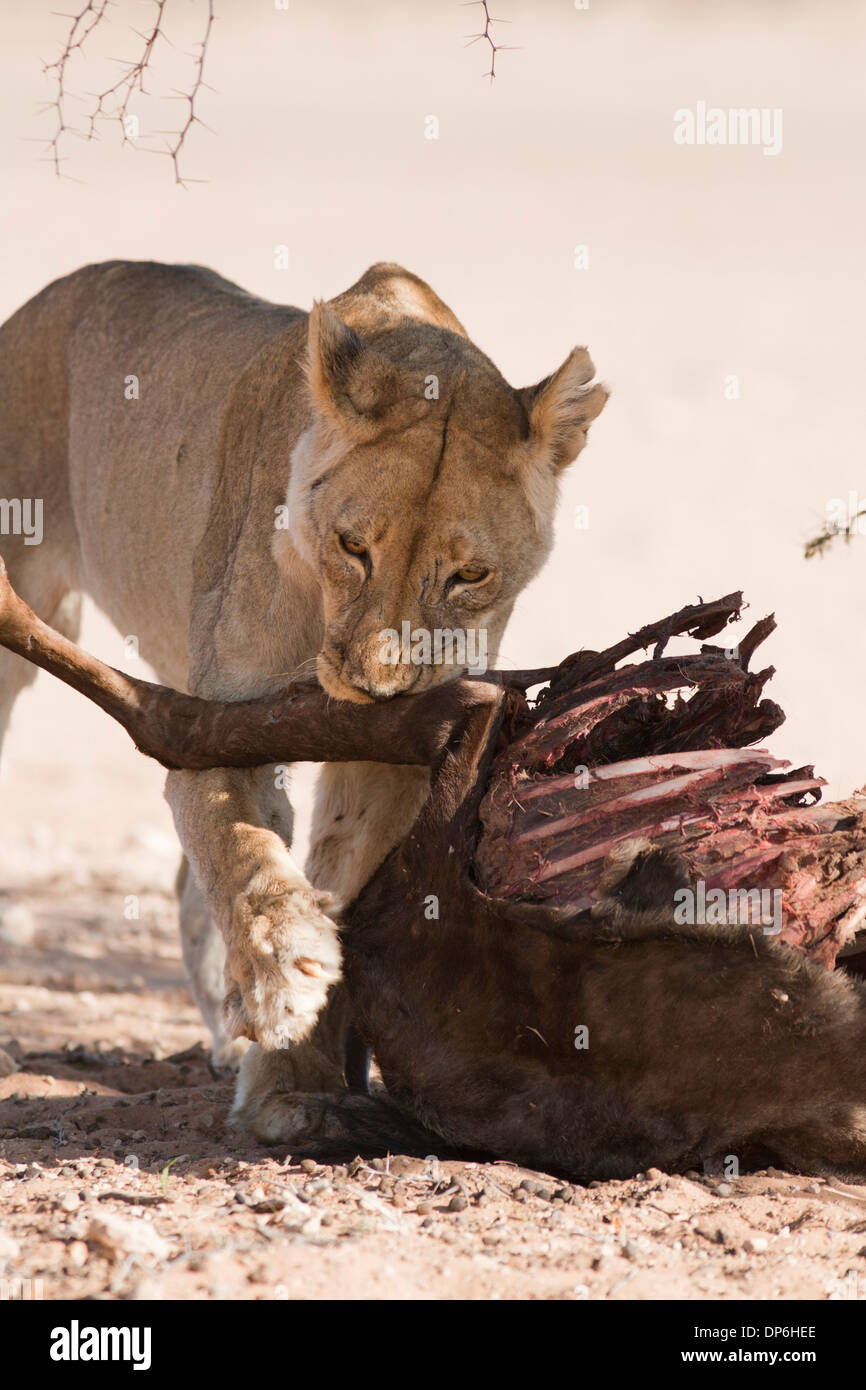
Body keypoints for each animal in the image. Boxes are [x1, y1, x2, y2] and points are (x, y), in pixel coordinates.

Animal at [0, 260, 607, 1138]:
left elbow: (340, 877)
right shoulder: (209, 726)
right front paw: (286, 977)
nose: (374, 688)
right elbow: (244, 851)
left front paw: (293, 1082)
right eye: (354, 546)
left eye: (471, 575)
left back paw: (229, 1038)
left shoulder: (398, 756)